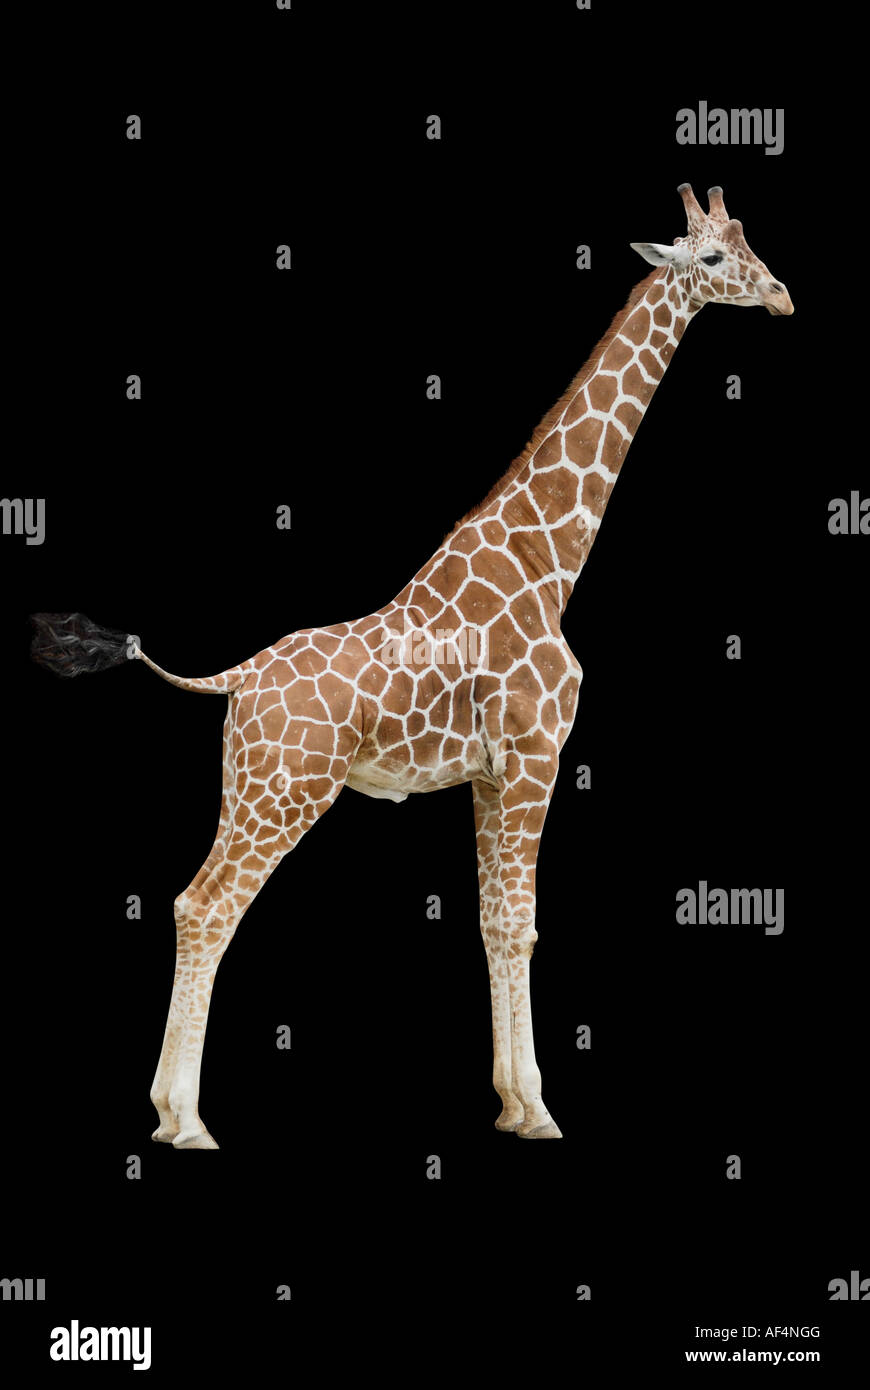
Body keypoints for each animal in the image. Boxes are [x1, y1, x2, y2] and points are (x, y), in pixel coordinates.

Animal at [31, 184, 792, 1149]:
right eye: (713, 259)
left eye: (748, 241)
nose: (782, 297)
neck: (550, 560)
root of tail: (232, 678)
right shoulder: (539, 755)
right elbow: (522, 923)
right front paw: (541, 1109)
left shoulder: (489, 773)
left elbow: (492, 924)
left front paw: (511, 1105)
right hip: (289, 790)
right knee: (208, 907)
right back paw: (187, 1121)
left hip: (247, 784)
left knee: (186, 899)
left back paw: (172, 1115)